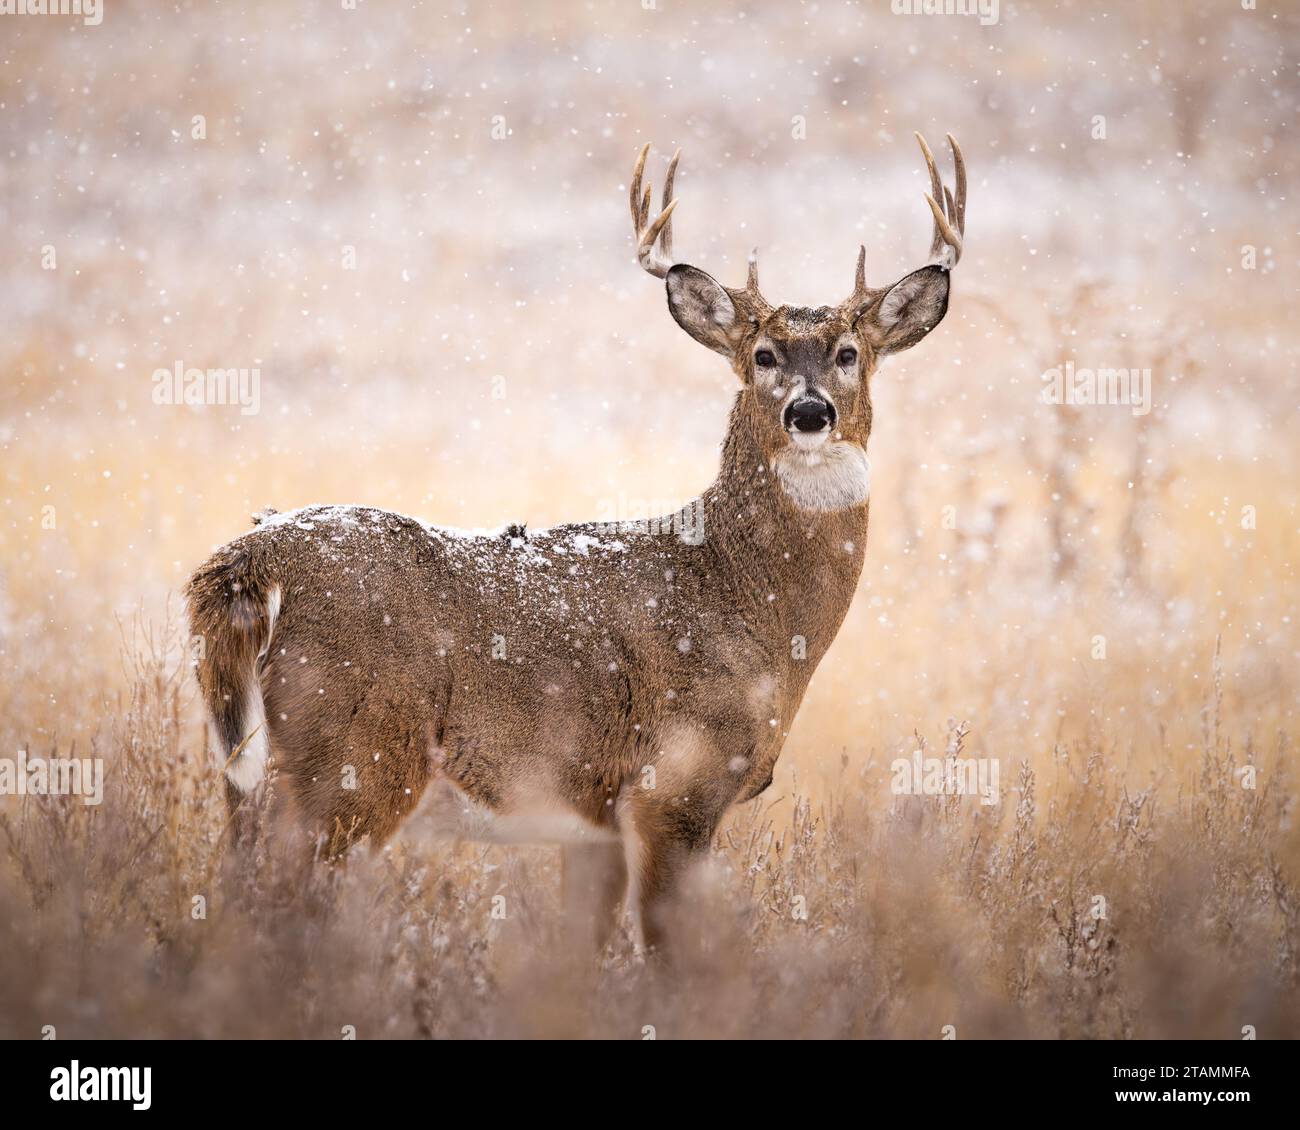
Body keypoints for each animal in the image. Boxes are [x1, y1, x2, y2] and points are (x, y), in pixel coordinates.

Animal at [186, 133, 966, 954]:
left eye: (848, 351)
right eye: (763, 356)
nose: (810, 413)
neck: (746, 599)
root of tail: (250, 560)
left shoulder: (593, 825)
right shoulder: (671, 786)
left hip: (250, 770)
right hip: (349, 757)